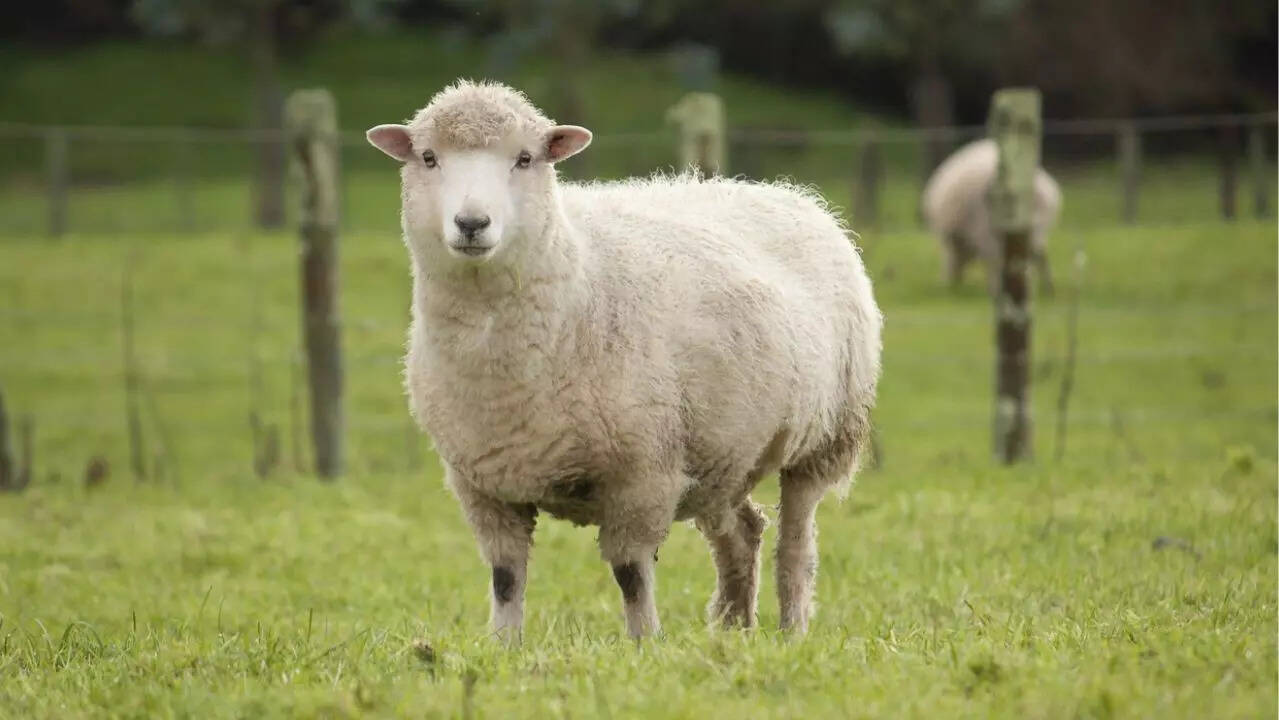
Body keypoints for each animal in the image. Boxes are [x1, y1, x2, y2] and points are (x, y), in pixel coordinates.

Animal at [366, 80, 882, 641]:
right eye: (428, 157)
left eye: (525, 158)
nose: (471, 223)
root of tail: (788, 194)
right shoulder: (483, 485)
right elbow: (506, 577)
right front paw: (504, 646)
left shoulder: (643, 474)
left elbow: (631, 574)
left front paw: (644, 644)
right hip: (720, 453)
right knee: (743, 532)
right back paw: (733, 629)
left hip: (825, 437)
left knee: (796, 544)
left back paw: (791, 630)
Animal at [921, 138, 1062, 296]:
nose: (950, 284)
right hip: (1036, 228)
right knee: (1036, 255)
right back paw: (1044, 288)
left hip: (990, 227)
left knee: (1004, 258)